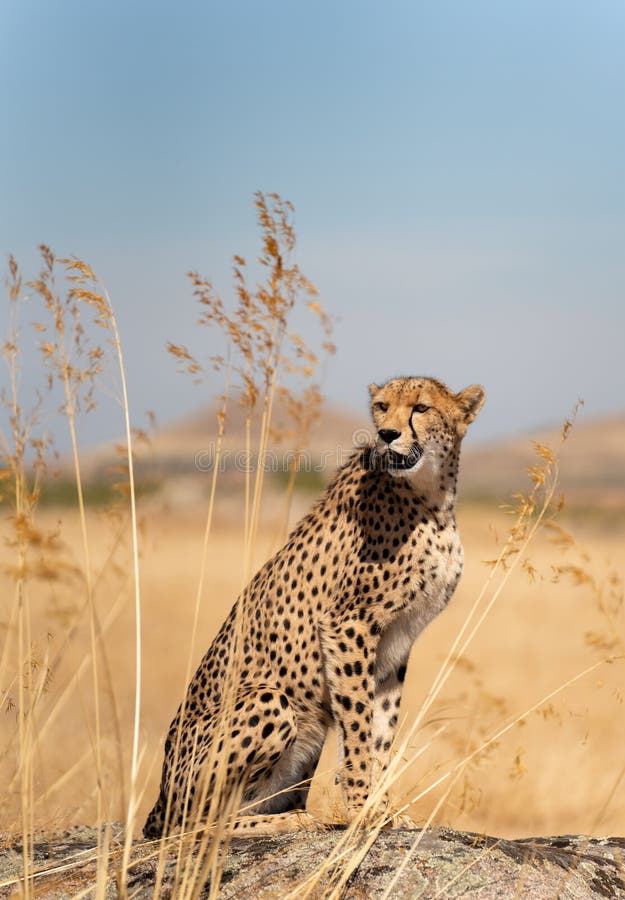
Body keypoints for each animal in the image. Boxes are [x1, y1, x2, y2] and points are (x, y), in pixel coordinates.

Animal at [144, 375, 485, 838]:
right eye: (381, 407)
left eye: (421, 408)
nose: (387, 434)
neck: (432, 495)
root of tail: (160, 798)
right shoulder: (348, 625)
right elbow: (358, 727)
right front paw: (361, 810)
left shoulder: (396, 640)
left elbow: (381, 730)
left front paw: (384, 809)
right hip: (268, 700)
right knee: (199, 827)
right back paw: (292, 820)